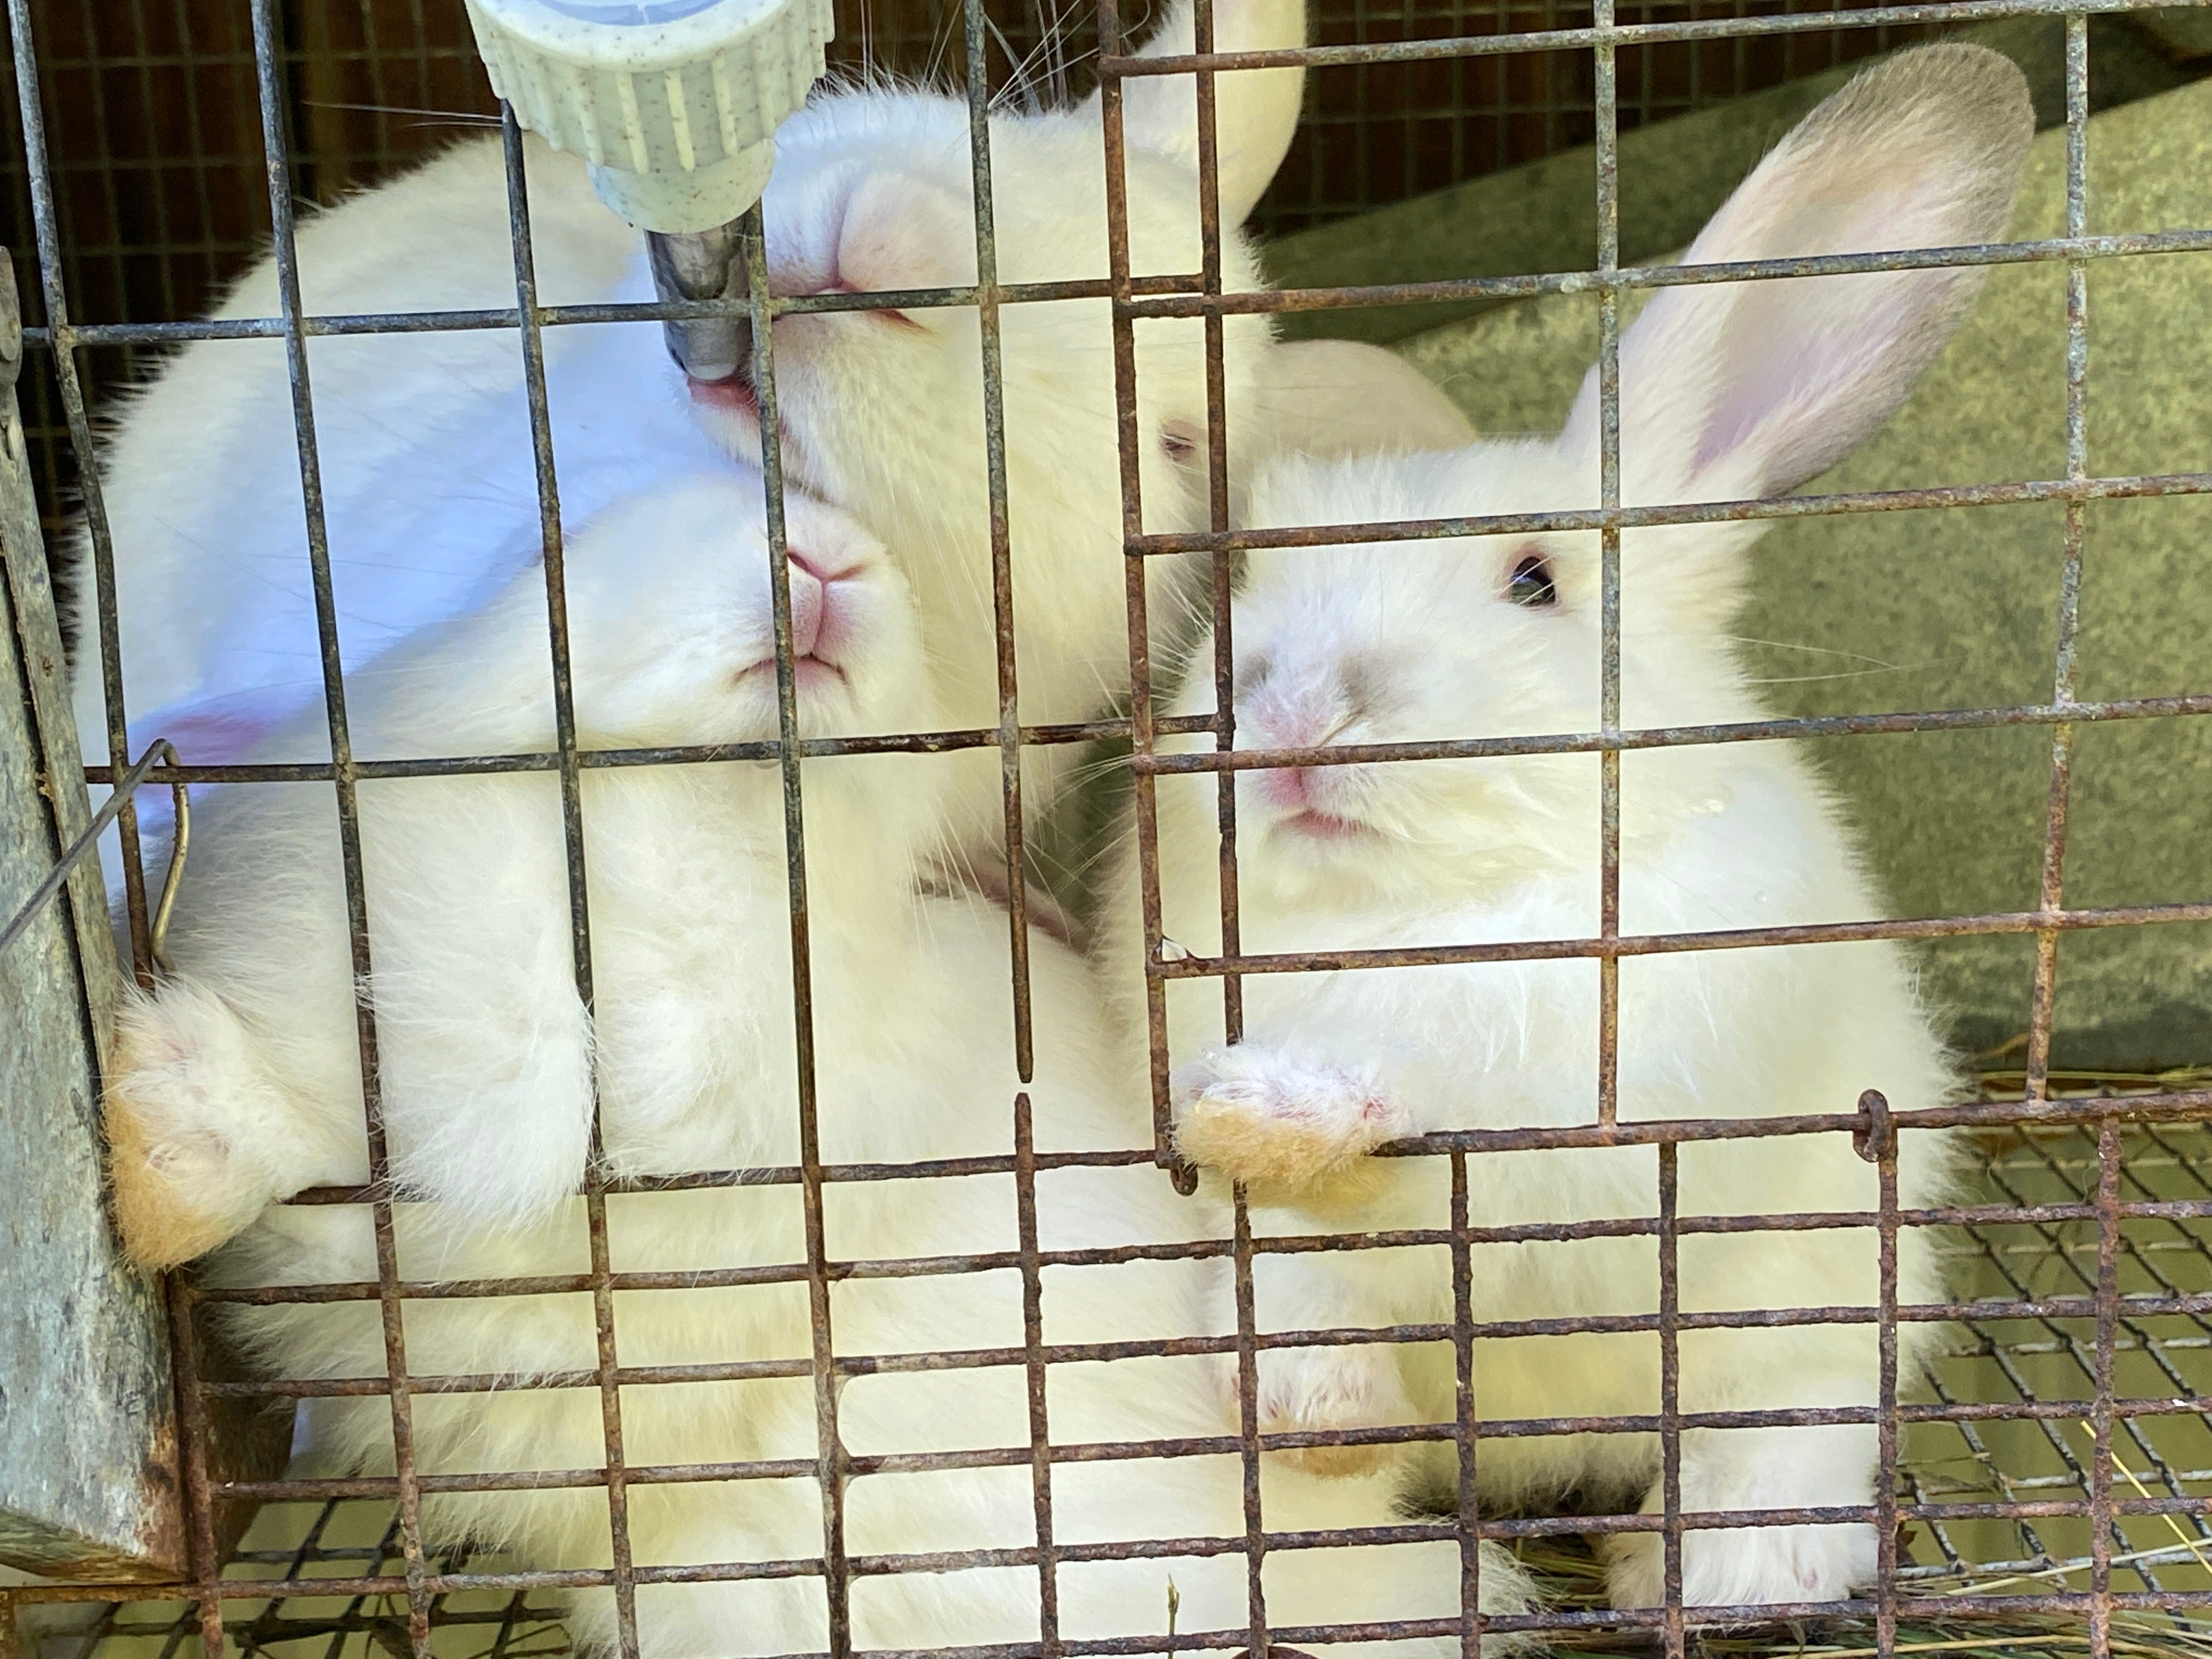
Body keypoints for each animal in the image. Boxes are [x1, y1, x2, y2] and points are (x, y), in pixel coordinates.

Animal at [1105, 45, 2032, 1616]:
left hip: (1822, 1318)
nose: (1290, 712)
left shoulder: (1620, 1073)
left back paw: (1718, 1572)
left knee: (1779, 1442)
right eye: (1232, 608)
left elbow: (1458, 1103)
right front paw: (1316, 1393)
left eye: (1537, 581)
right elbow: (1296, 1263)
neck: (1415, 918)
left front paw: (1287, 1106)